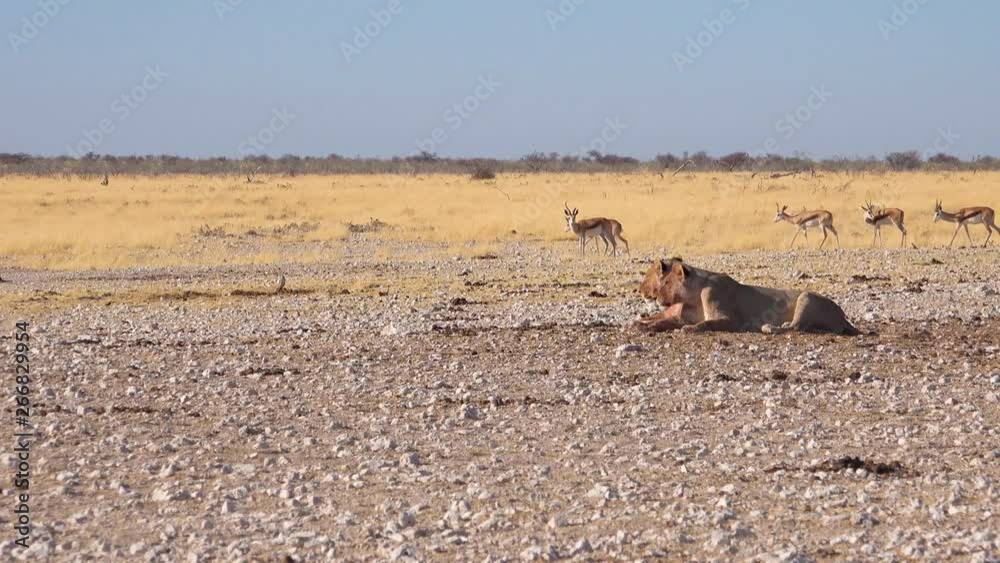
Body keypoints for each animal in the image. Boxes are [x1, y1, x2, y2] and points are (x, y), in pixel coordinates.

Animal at [635, 257, 859, 335]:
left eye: (666, 283)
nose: (656, 299)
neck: (694, 296)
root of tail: (842, 315)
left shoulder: (730, 319)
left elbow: (707, 323)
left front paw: (690, 329)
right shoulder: (682, 315)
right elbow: (664, 322)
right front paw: (645, 325)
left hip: (807, 296)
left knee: (797, 326)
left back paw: (770, 327)